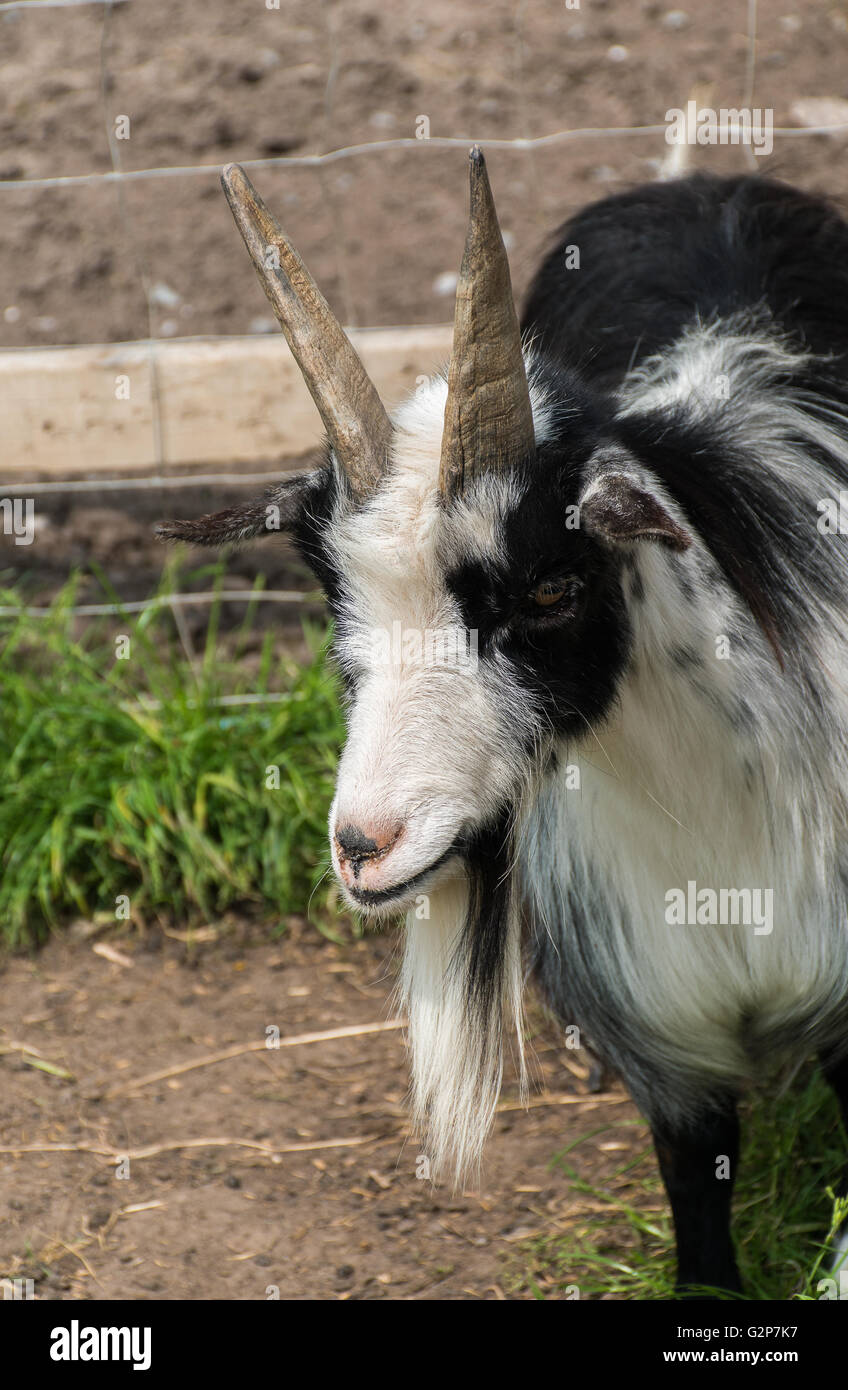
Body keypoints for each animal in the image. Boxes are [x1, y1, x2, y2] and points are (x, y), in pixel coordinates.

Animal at [159, 151, 848, 1297]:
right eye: (334, 596)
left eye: (547, 591)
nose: (364, 846)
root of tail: (703, 177)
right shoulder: (660, 1029)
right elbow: (697, 1200)